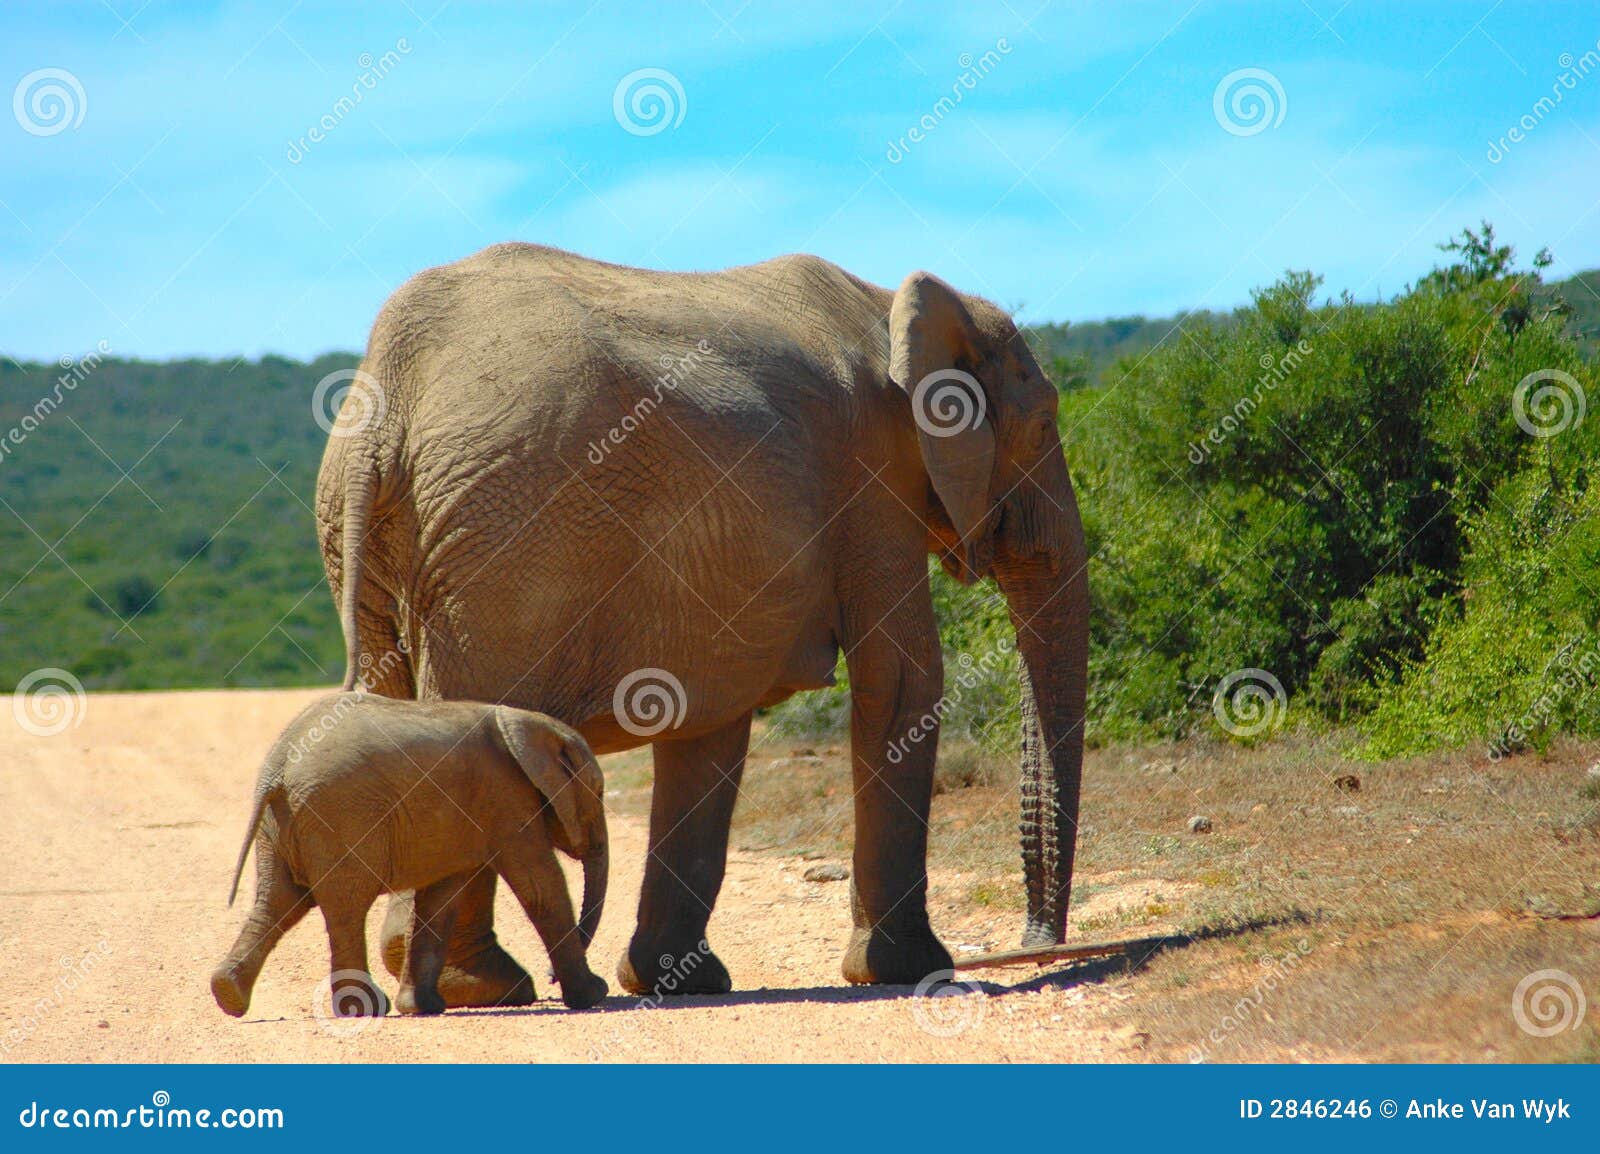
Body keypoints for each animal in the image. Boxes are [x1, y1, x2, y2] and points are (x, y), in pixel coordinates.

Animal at [210, 692, 610, 1017]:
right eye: (599, 791)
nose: (550, 979)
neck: (524, 723)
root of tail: (275, 769)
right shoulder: (505, 796)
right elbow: (541, 886)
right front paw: (593, 995)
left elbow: (440, 900)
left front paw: (423, 1007)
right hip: (340, 817)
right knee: (345, 909)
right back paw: (362, 1009)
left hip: (280, 826)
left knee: (279, 902)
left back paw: (228, 994)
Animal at [315, 243, 1088, 1002]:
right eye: (1044, 426)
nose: (1033, 947)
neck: (890, 305)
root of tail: (391, 398)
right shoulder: (875, 476)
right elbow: (902, 678)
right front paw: (909, 968)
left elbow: (707, 720)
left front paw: (680, 981)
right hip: (502, 546)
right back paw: (485, 985)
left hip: (380, 546)